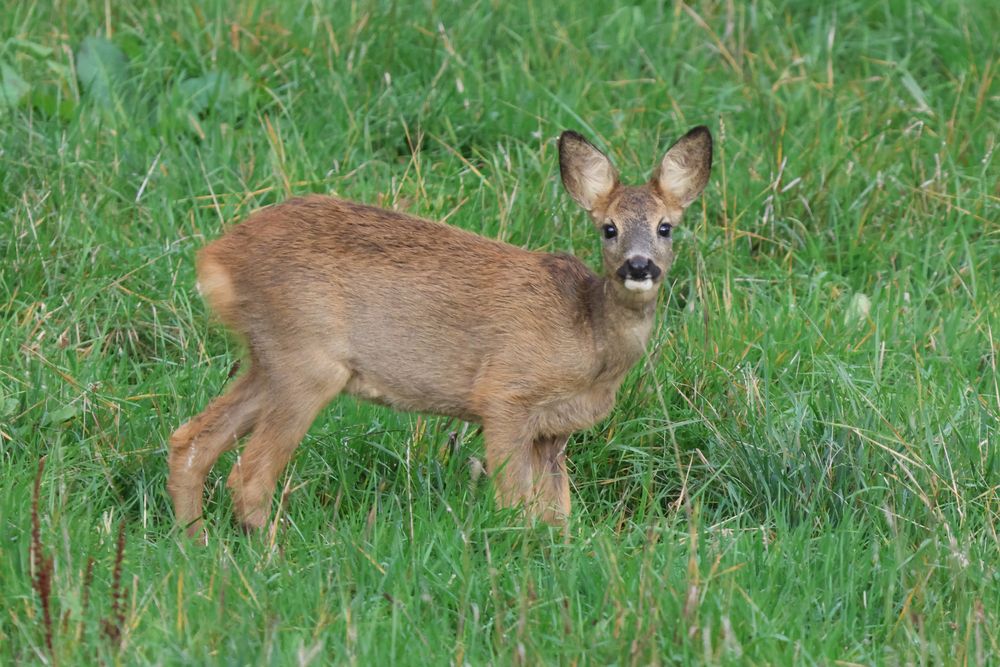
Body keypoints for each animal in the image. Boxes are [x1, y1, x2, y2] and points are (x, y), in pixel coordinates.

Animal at [168, 126, 712, 537]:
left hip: (268, 360)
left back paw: (196, 542)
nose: (638, 266)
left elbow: (557, 513)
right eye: (608, 228)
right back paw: (270, 554)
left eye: (665, 227)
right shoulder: (505, 394)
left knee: (189, 442)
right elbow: (515, 503)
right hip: (304, 361)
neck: (589, 333)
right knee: (248, 474)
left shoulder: (553, 431)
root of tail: (216, 259)